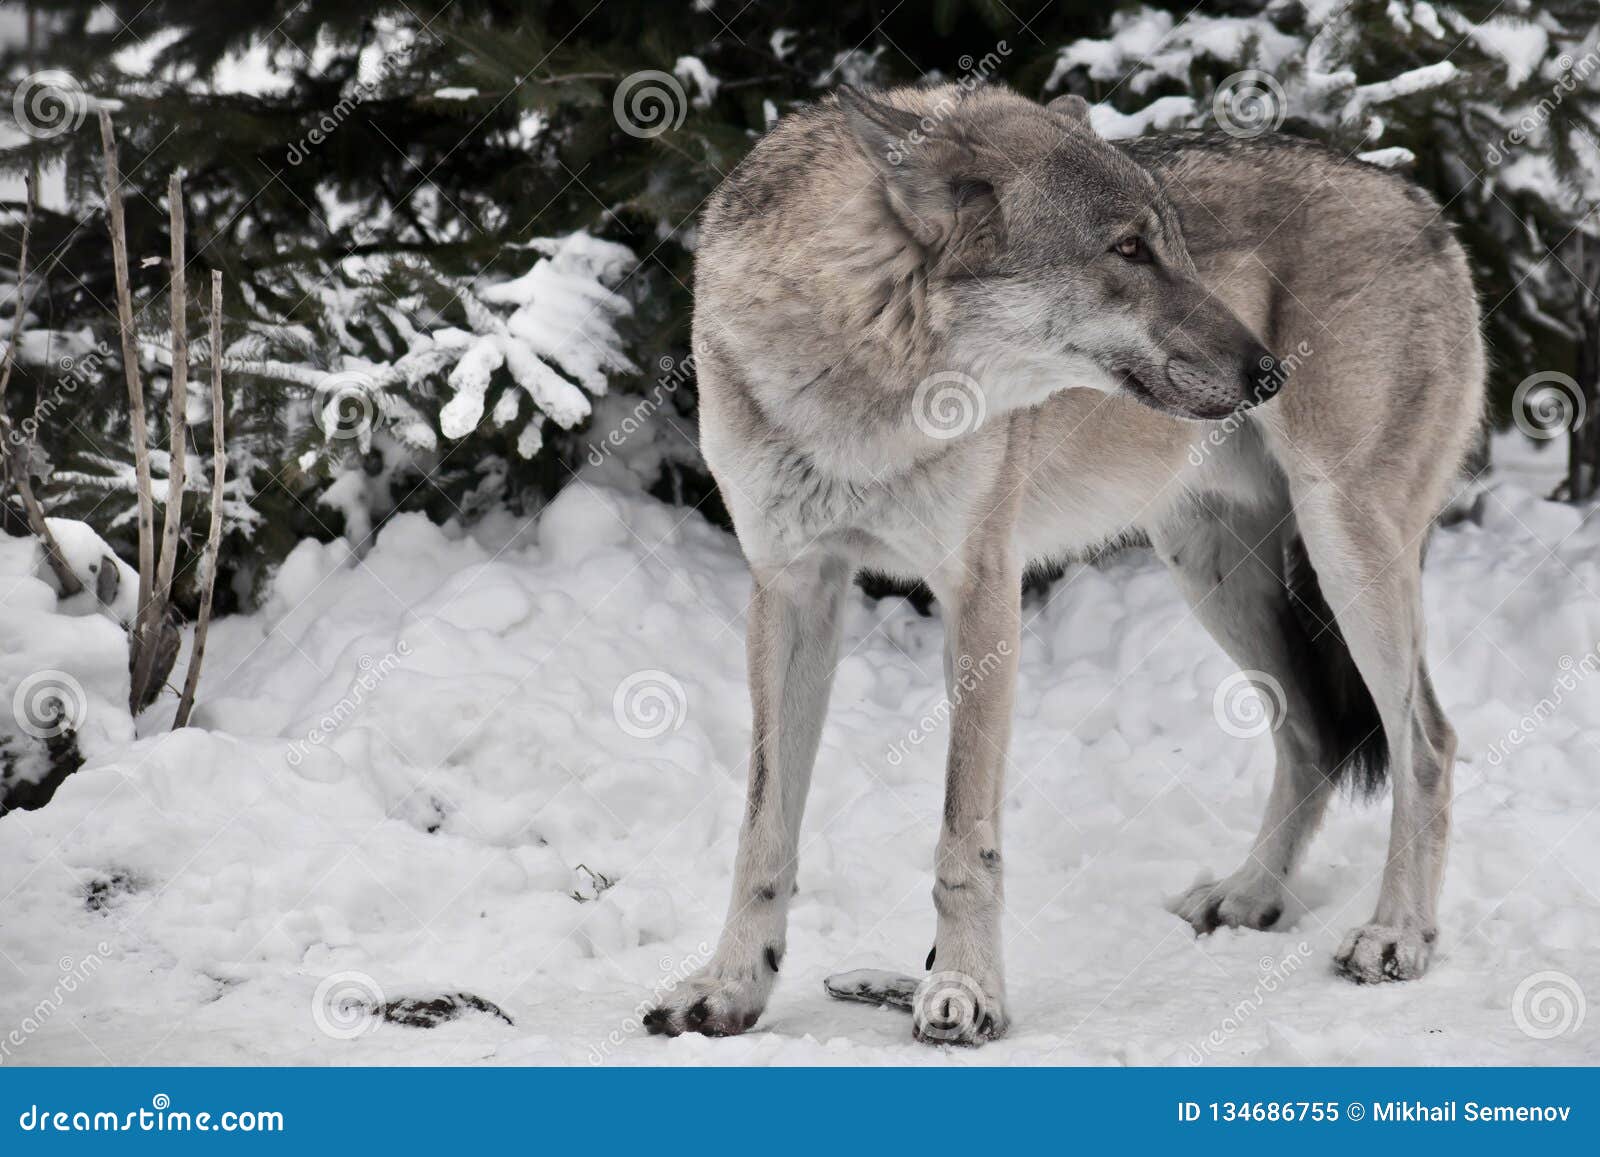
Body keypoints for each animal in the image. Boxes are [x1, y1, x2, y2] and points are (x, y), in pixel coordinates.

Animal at [645, 83, 1484, 1045]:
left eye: (1177, 245)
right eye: (1128, 249)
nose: (1272, 371)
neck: (865, 389)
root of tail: (1418, 199)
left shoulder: (980, 586)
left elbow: (963, 837)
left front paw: (964, 990)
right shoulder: (791, 587)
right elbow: (762, 830)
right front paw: (729, 986)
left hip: (1344, 548)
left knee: (1428, 740)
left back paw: (1397, 933)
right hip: (1213, 572)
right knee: (1310, 736)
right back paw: (1250, 895)